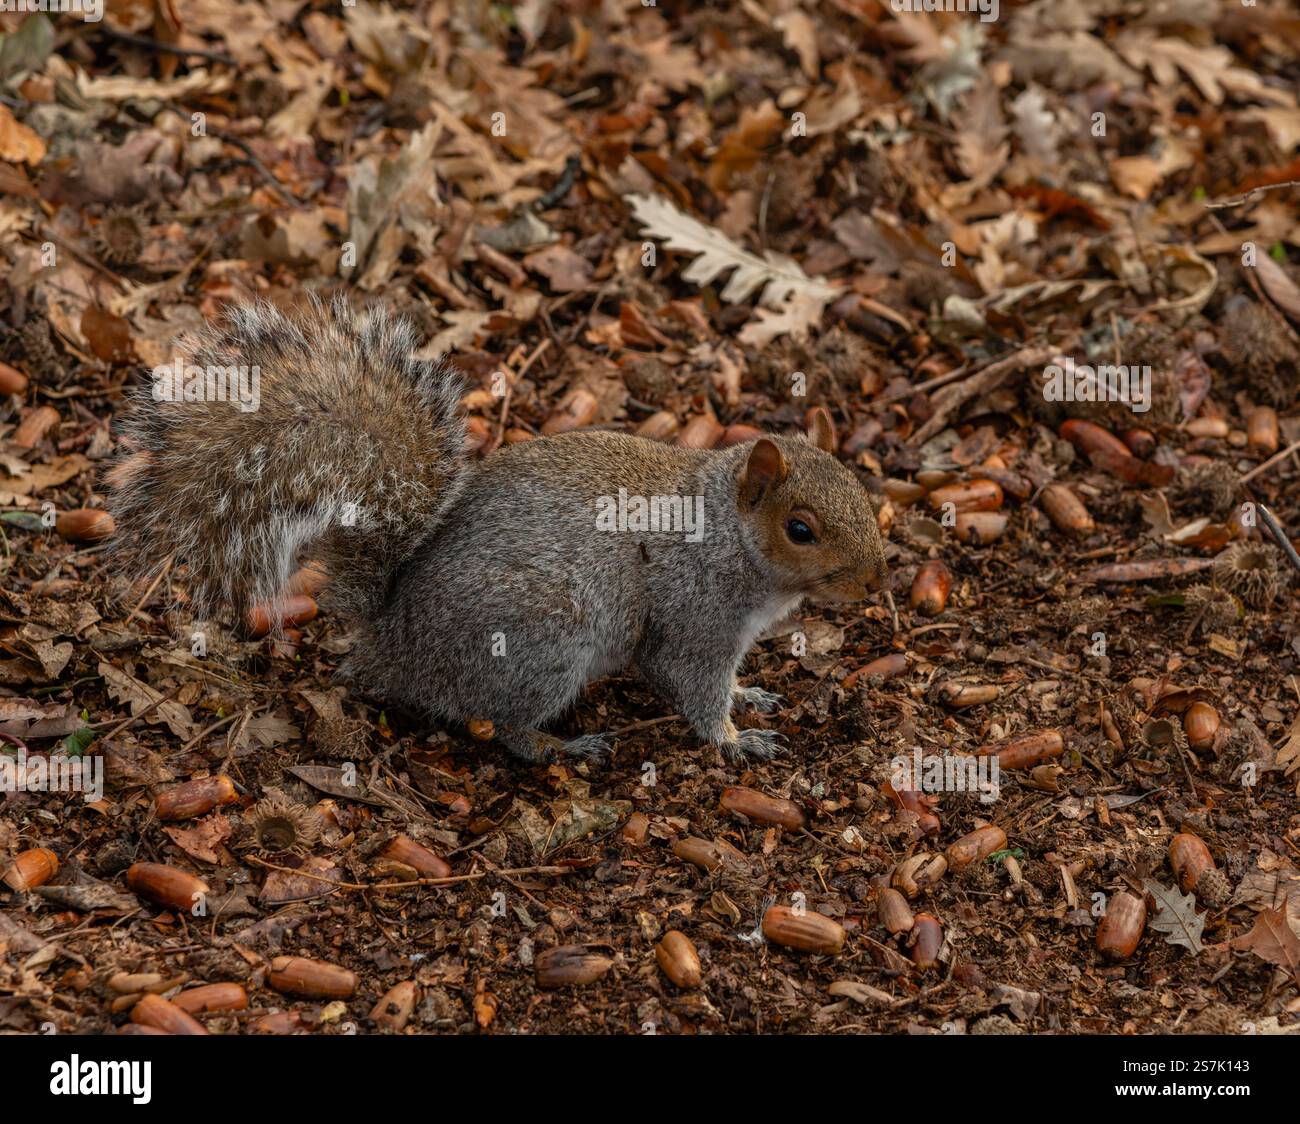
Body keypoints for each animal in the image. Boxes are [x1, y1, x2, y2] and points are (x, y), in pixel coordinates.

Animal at [108, 297, 888, 764]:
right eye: (800, 529)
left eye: (858, 487)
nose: (876, 581)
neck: (727, 534)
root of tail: (393, 639)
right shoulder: (694, 617)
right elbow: (690, 684)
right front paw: (736, 737)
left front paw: (750, 696)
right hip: (543, 641)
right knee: (498, 722)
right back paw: (561, 748)